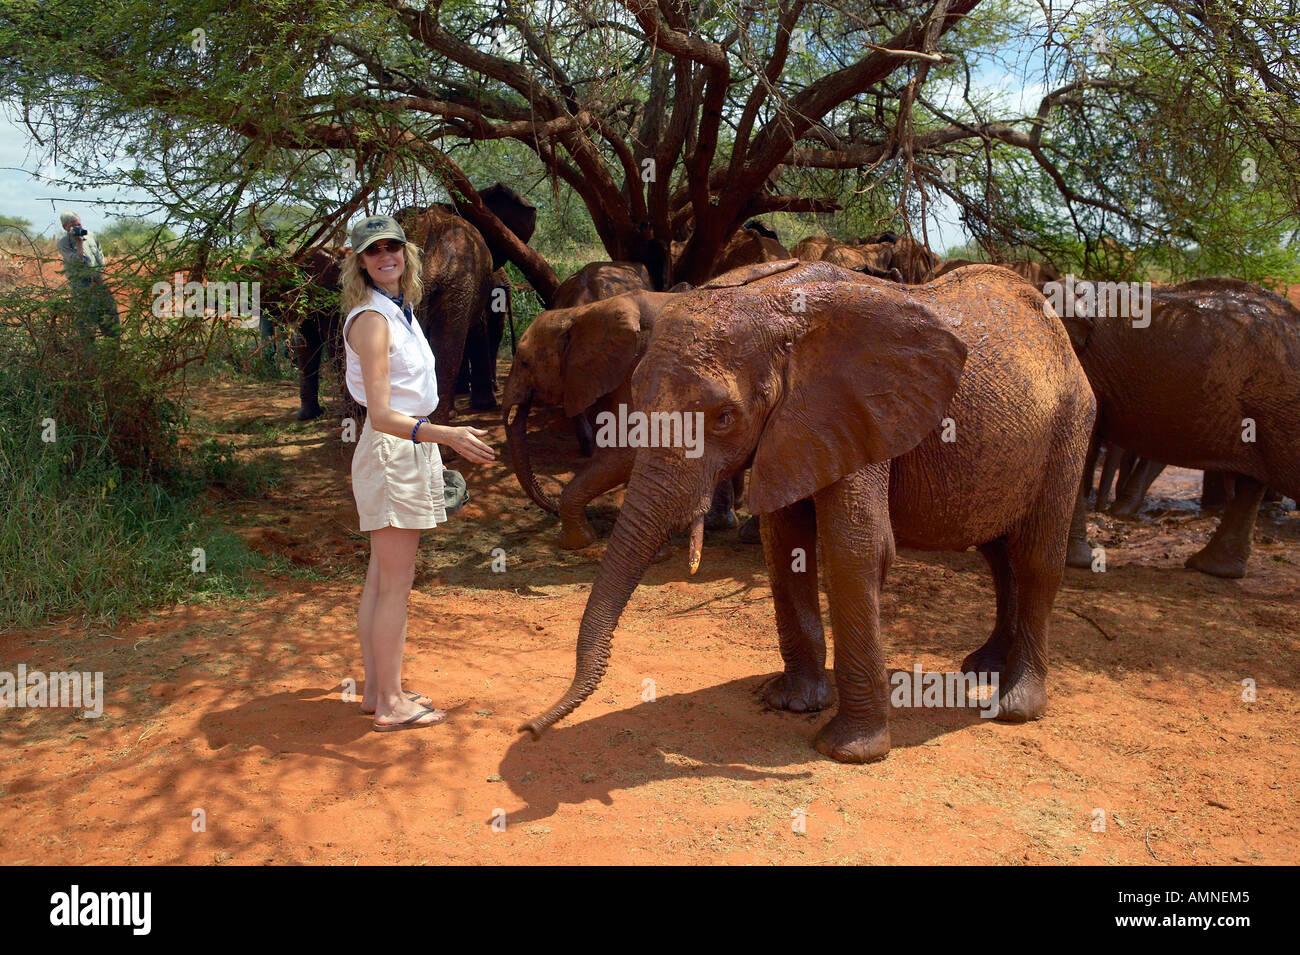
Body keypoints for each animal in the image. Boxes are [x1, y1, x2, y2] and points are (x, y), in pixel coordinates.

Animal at [519, 262, 1096, 763]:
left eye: (725, 417)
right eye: (635, 394)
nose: (528, 728)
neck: (779, 308)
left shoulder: (861, 409)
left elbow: (855, 549)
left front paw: (849, 751)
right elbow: (784, 543)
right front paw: (792, 703)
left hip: (1071, 425)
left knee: (1035, 559)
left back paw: (1016, 705)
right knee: (998, 555)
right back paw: (982, 669)